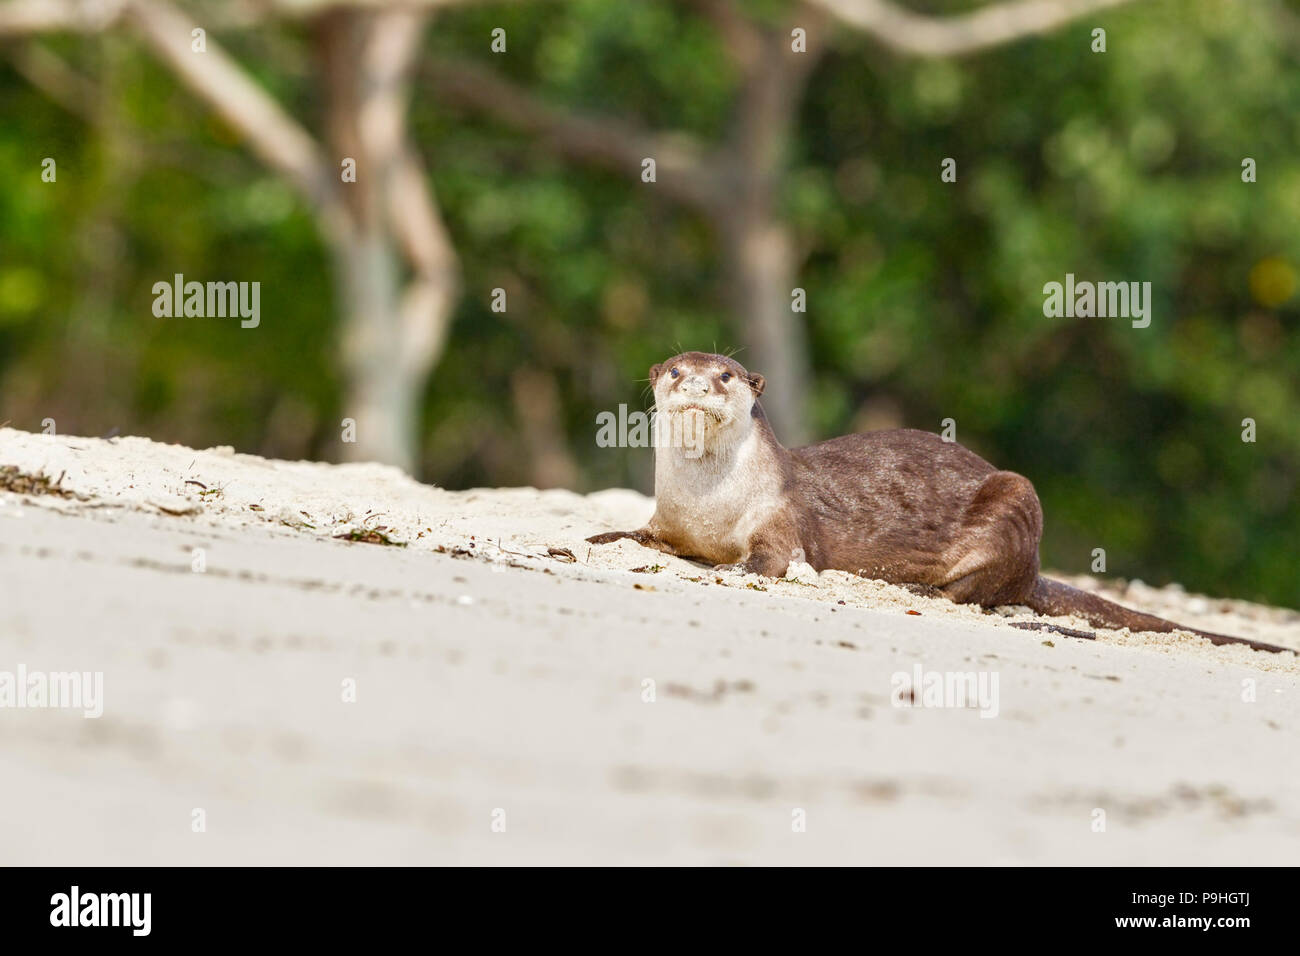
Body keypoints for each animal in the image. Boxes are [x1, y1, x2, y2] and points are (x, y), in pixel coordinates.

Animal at [588, 351, 1293, 655]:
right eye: (675, 370)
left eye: (727, 374)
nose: (698, 384)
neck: (710, 507)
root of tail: (1037, 570)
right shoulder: (670, 521)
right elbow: (641, 536)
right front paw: (598, 540)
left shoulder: (779, 519)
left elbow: (773, 558)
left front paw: (736, 568)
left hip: (1019, 502)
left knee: (979, 590)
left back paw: (921, 589)